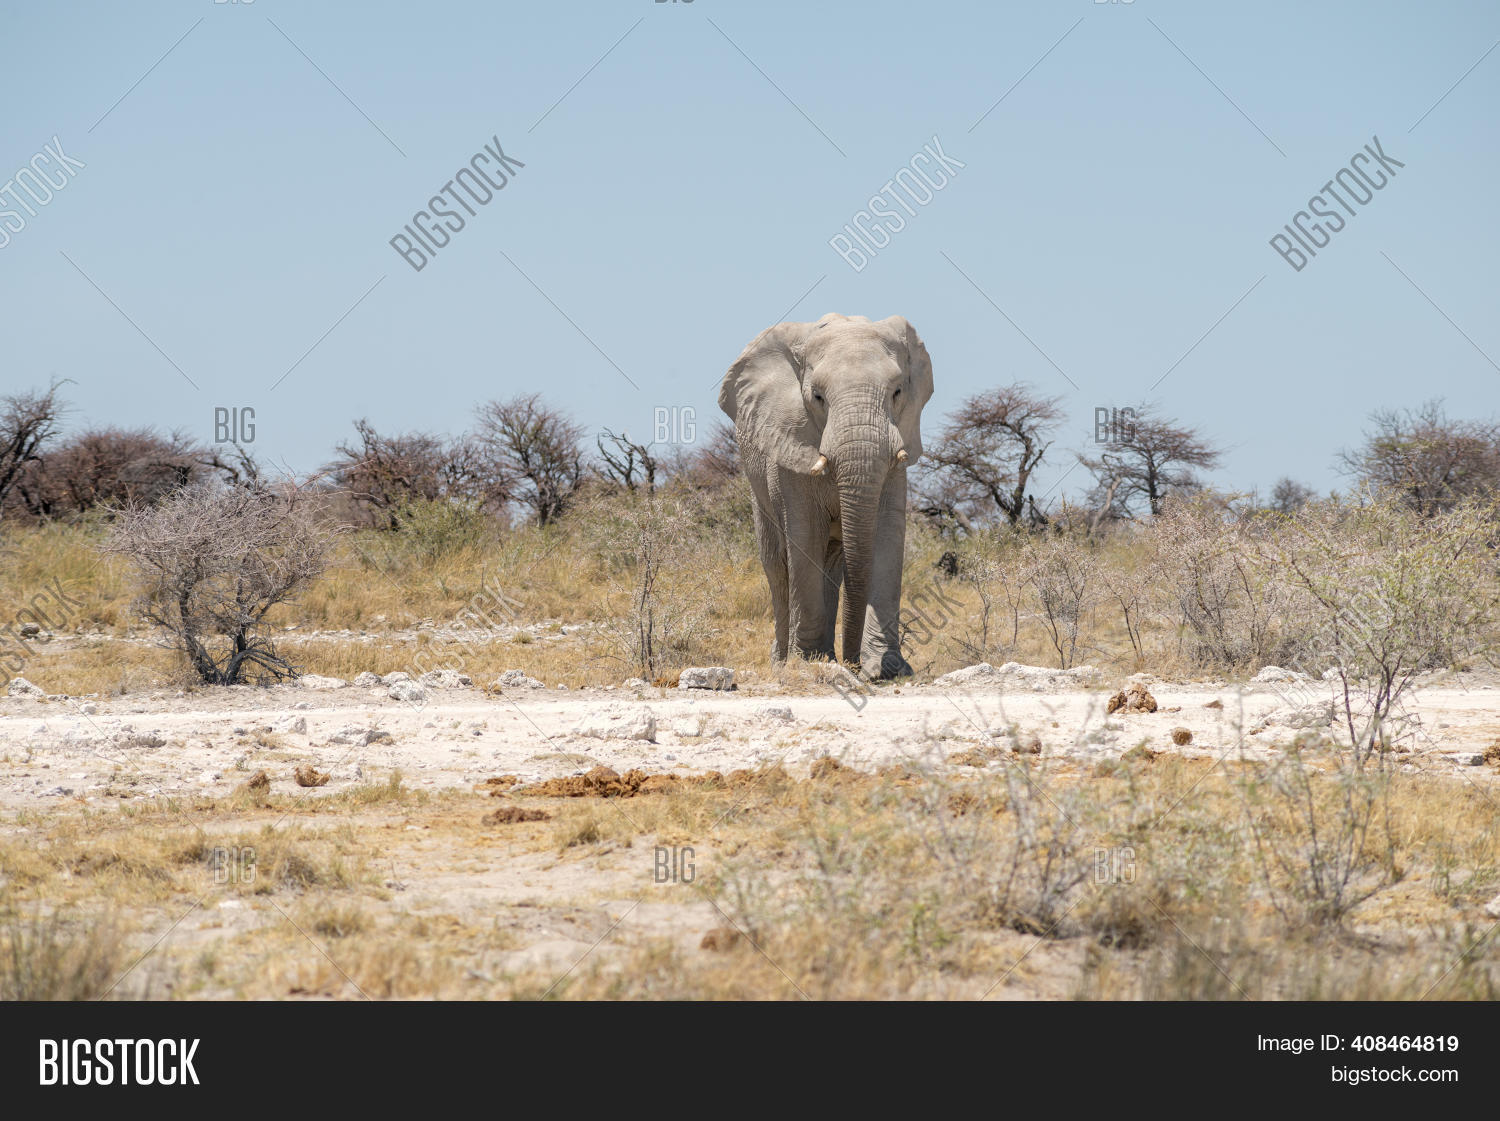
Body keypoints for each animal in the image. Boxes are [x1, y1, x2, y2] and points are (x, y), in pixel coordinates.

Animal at [718, 313, 934, 679]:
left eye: (897, 392)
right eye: (817, 397)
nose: (854, 663)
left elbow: (888, 535)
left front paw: (888, 669)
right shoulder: (789, 442)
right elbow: (804, 535)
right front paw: (807, 662)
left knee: (830, 565)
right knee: (777, 563)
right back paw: (784, 660)